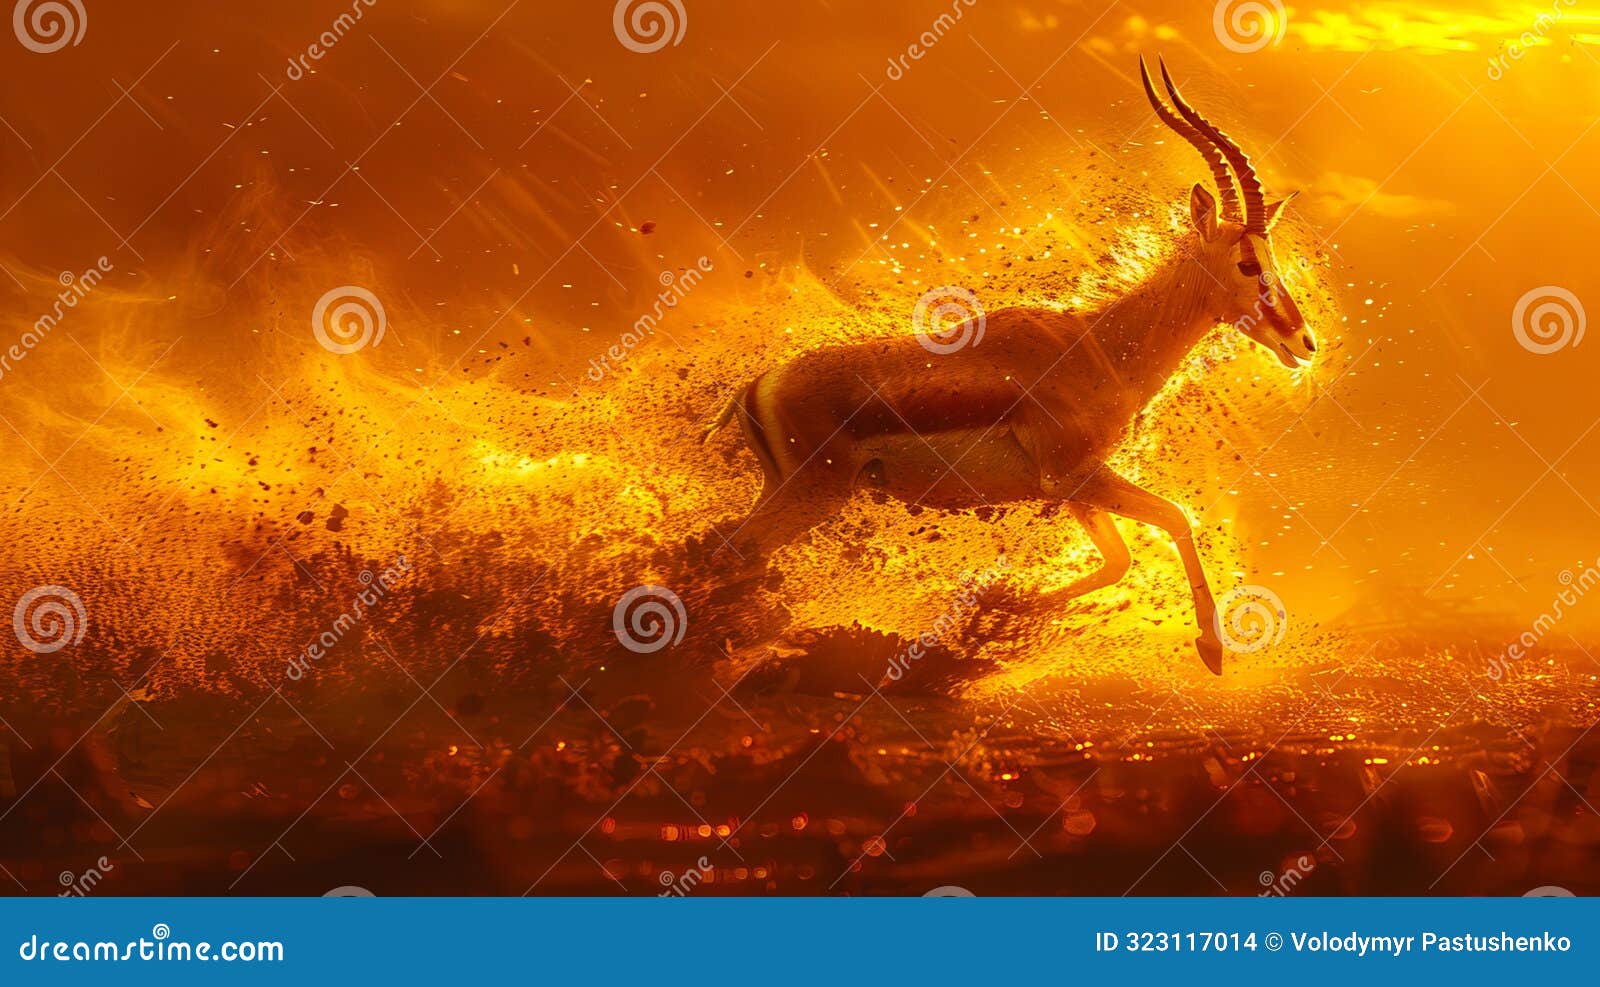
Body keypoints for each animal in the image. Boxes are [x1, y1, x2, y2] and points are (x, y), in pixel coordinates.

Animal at [698, 58, 1315, 674]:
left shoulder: (1071, 487)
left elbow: (1118, 560)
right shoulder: (1071, 474)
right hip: (810, 498)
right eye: (1247, 262)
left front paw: (999, 614)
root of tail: (756, 387)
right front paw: (1211, 648)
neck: (1101, 346)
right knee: (735, 553)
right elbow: (1176, 518)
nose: (1304, 341)